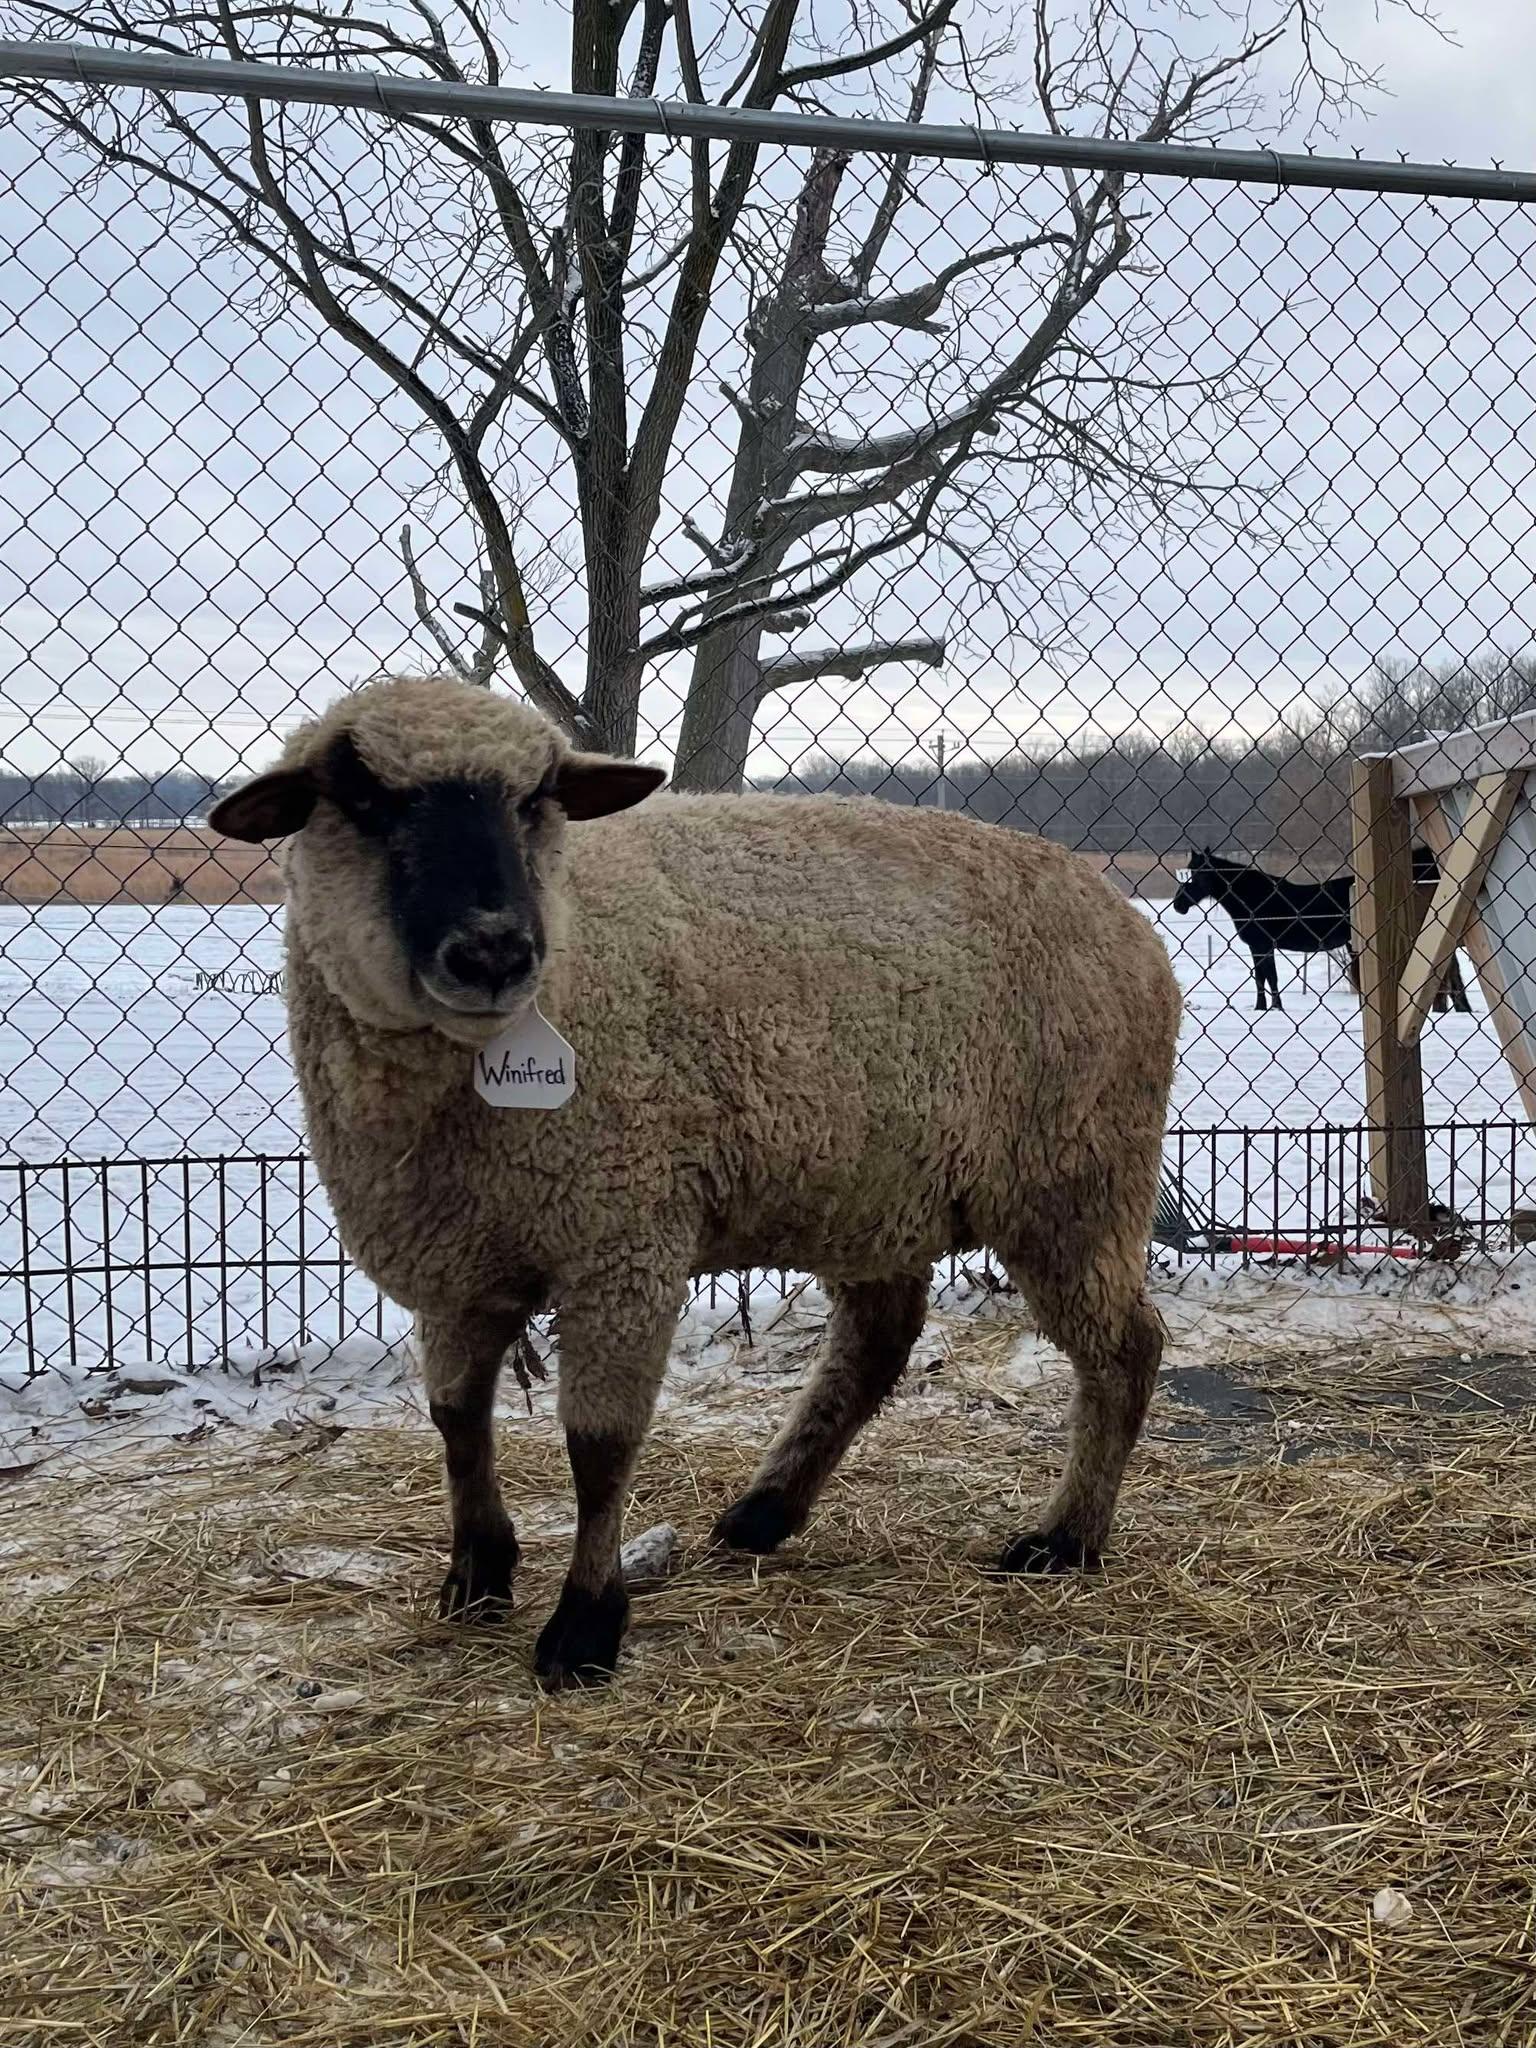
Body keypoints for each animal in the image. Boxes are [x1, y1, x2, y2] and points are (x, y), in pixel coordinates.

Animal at [211, 673, 1181, 1690]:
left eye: (536, 797)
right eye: (358, 797)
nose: (493, 954)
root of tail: (1124, 914)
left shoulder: (624, 1236)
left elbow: (599, 1448)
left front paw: (584, 1627)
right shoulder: (462, 1258)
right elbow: (456, 1419)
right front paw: (476, 1576)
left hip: (1074, 1178)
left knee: (1125, 1348)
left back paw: (1066, 1538)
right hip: (875, 1186)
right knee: (877, 1343)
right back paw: (765, 1511)